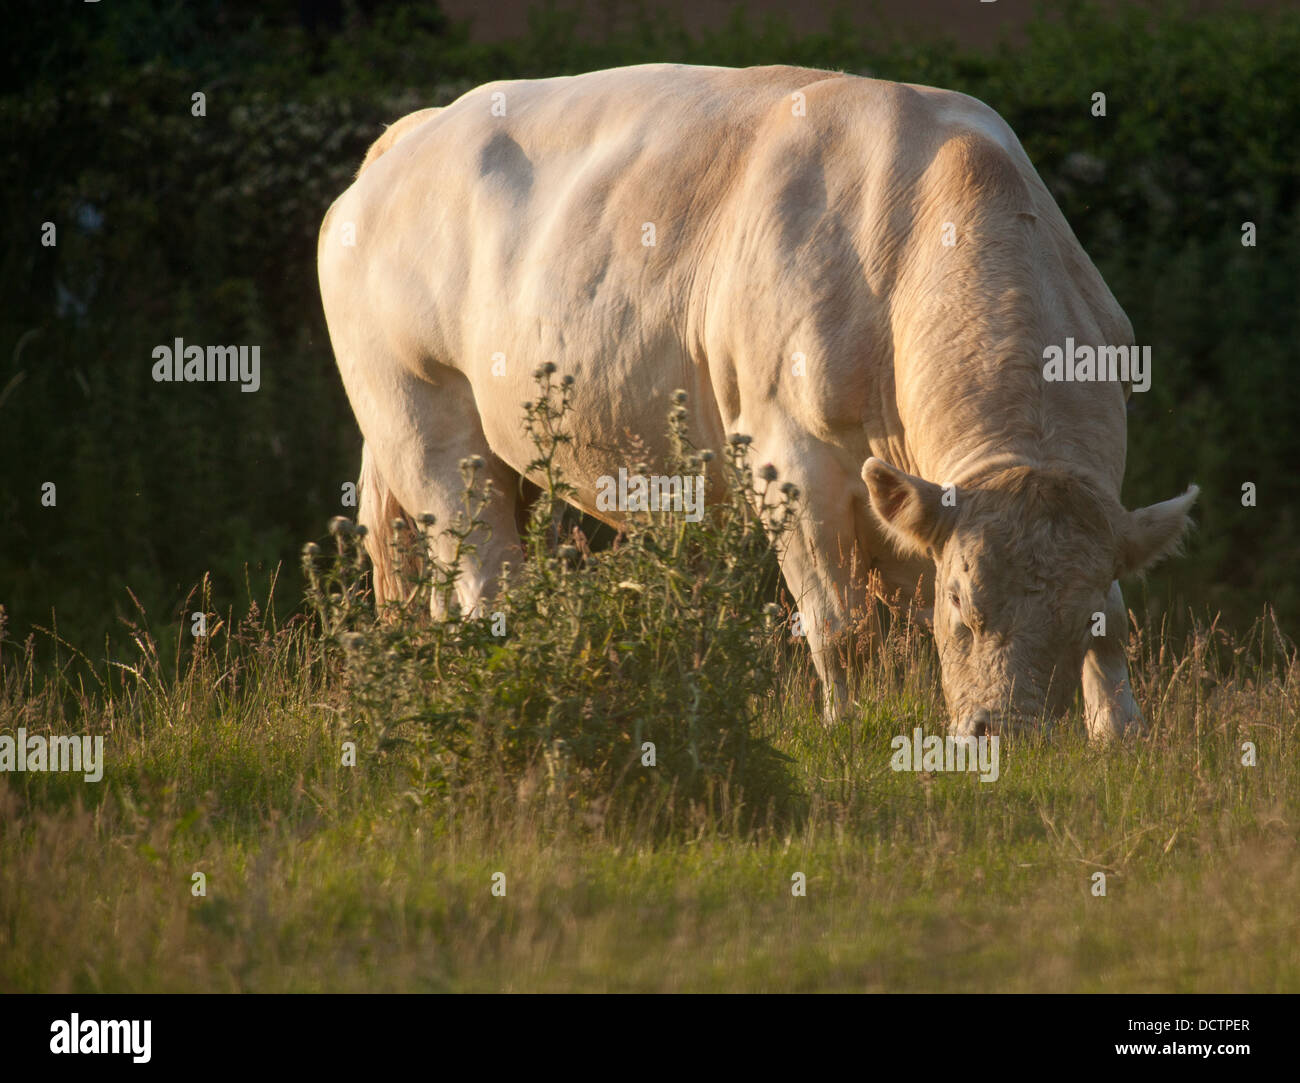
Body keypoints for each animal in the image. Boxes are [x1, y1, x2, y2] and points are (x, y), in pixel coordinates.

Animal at [317, 63, 1197, 741]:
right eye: (960, 603)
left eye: (1077, 619)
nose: (1001, 735)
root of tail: (410, 136)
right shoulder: (789, 459)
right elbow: (841, 624)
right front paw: (847, 727)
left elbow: (1120, 615)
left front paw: (1122, 733)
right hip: (421, 421)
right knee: (485, 580)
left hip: (497, 456)